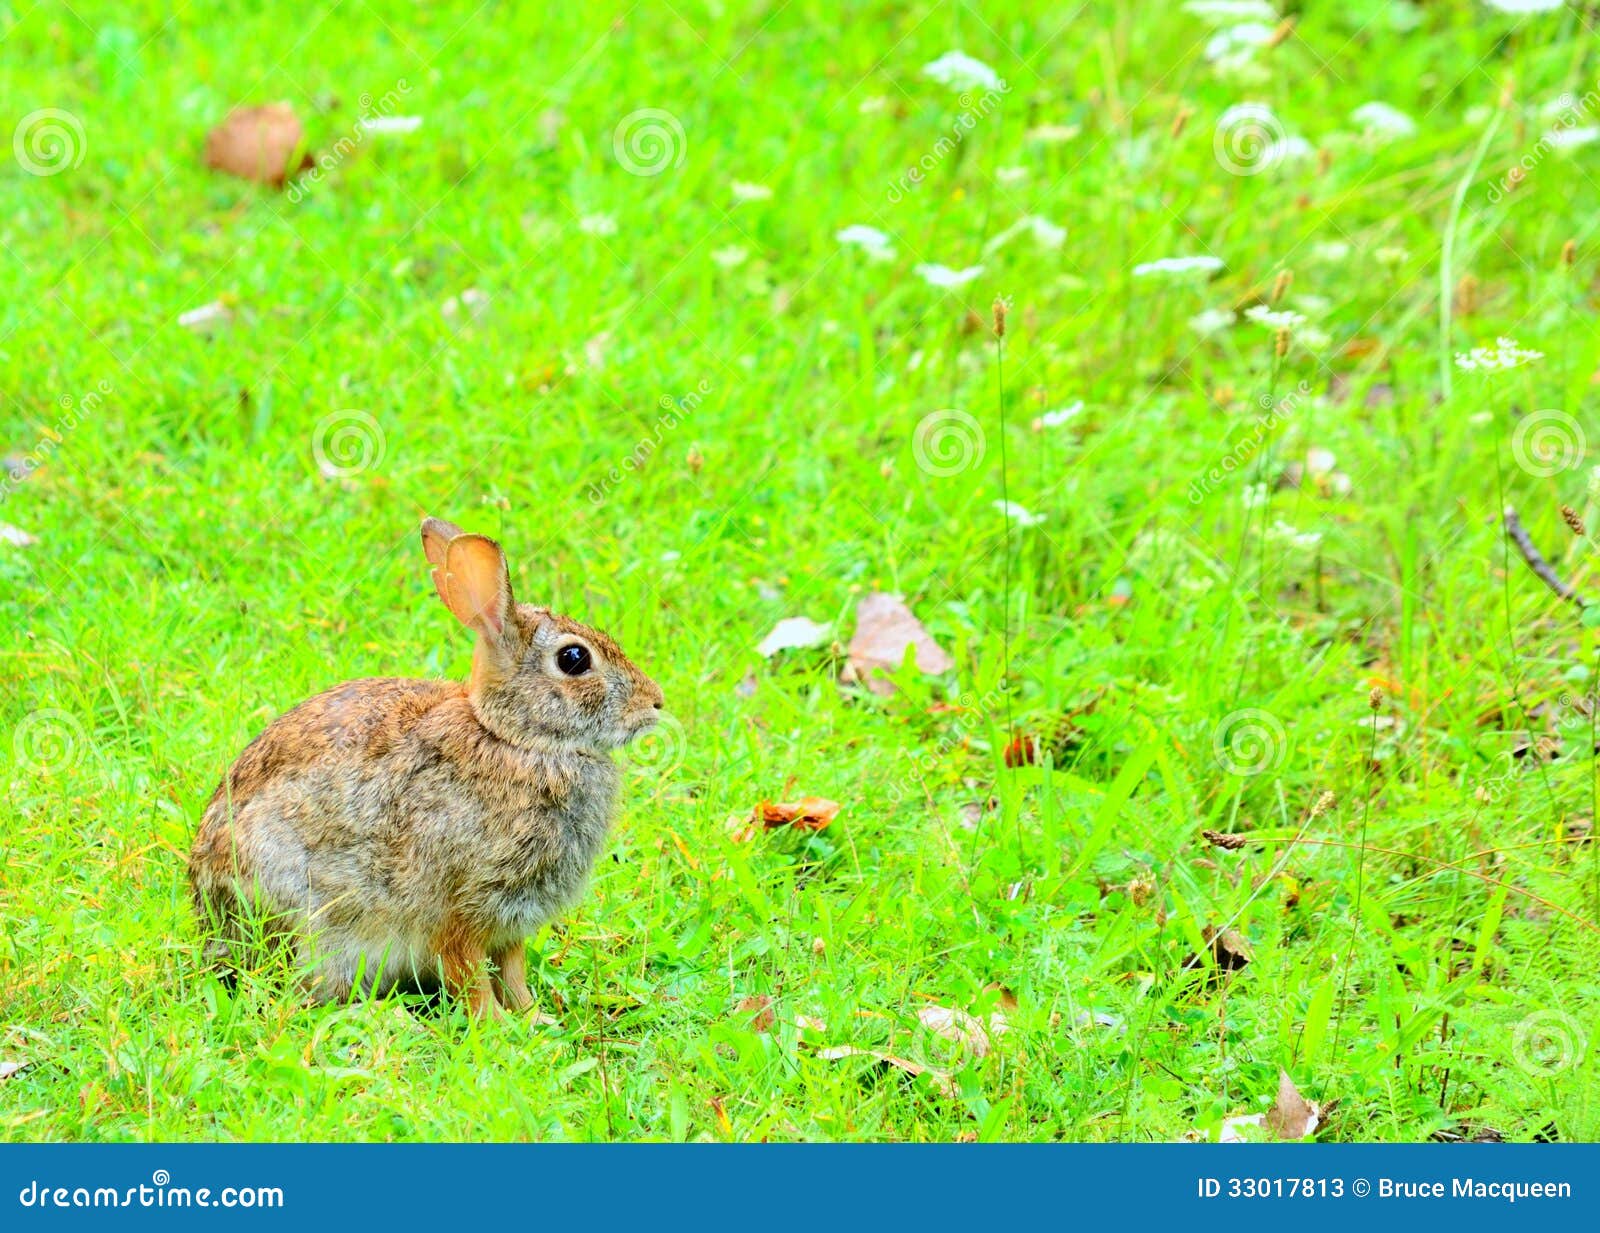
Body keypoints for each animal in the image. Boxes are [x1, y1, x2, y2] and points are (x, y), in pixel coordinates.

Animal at [187, 516, 665, 1017]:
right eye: (574, 659)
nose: (655, 702)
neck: (514, 738)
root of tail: (208, 919)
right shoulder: (458, 910)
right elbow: (469, 975)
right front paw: (496, 1025)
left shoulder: (511, 923)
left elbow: (512, 972)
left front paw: (533, 1018)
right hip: (307, 920)